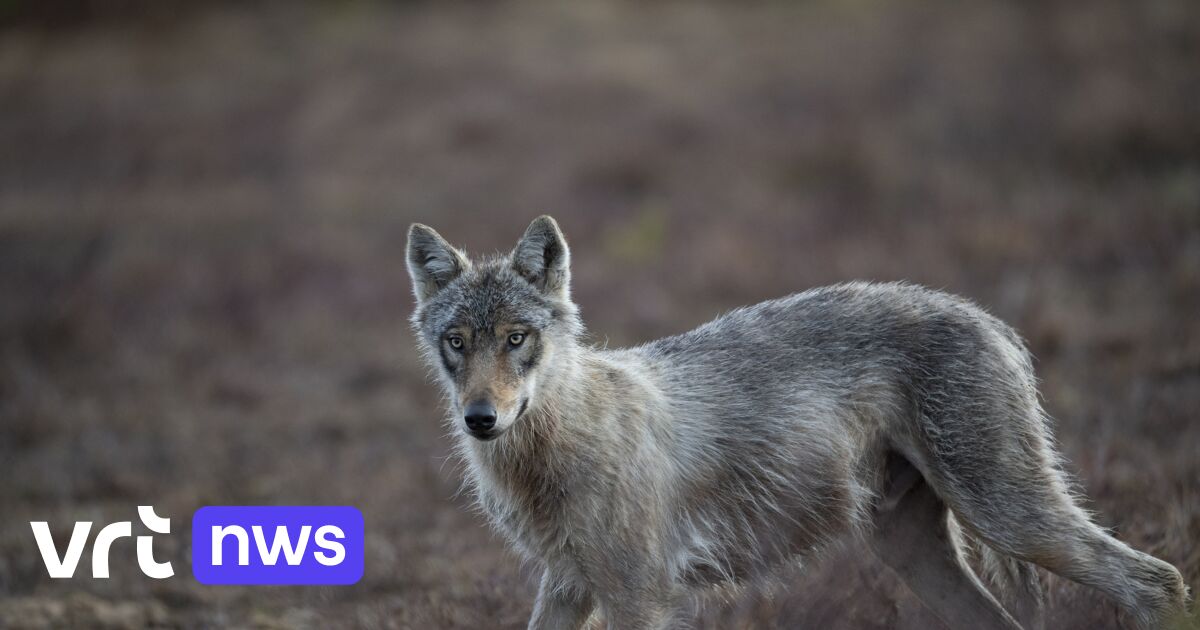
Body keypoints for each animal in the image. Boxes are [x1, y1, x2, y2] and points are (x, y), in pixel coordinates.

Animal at [406, 215, 1189, 630]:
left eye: (516, 339)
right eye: (457, 342)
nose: (480, 418)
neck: (548, 451)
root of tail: (987, 317)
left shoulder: (640, 594)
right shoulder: (567, 586)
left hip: (1009, 517)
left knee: (1156, 581)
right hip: (915, 549)